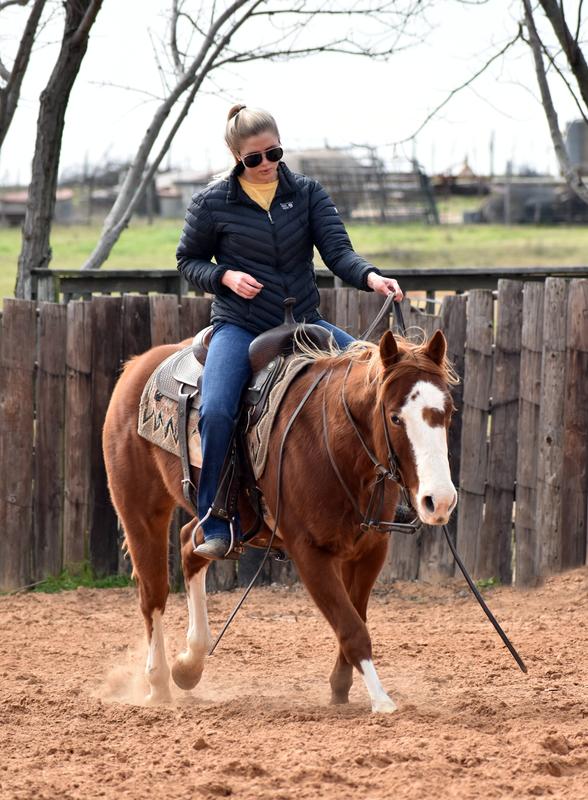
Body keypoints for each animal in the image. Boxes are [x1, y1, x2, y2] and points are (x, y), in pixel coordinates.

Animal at [102, 327, 458, 712]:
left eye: (448, 412)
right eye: (395, 417)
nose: (439, 501)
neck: (334, 442)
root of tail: (138, 365)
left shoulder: (370, 549)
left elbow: (356, 616)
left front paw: (340, 687)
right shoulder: (309, 553)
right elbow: (351, 628)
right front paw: (382, 701)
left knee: (189, 545)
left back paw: (189, 664)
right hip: (140, 510)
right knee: (153, 594)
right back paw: (158, 683)